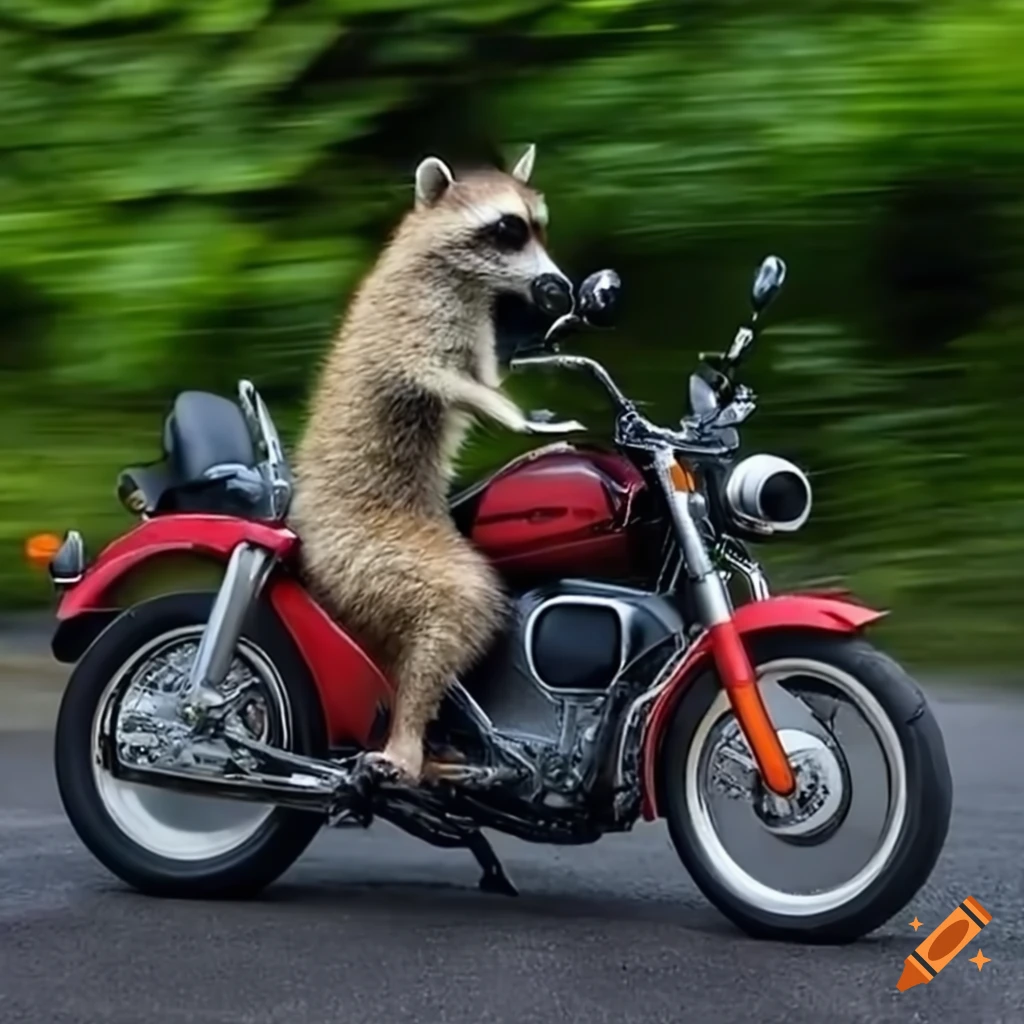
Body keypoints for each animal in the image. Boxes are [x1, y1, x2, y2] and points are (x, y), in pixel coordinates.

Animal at [289, 145, 572, 782]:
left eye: (540, 225)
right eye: (508, 229)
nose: (559, 285)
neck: (464, 277)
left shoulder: (475, 326)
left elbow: (483, 377)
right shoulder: (413, 319)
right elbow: (441, 379)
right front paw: (518, 418)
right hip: (363, 550)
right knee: (457, 605)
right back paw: (406, 742)